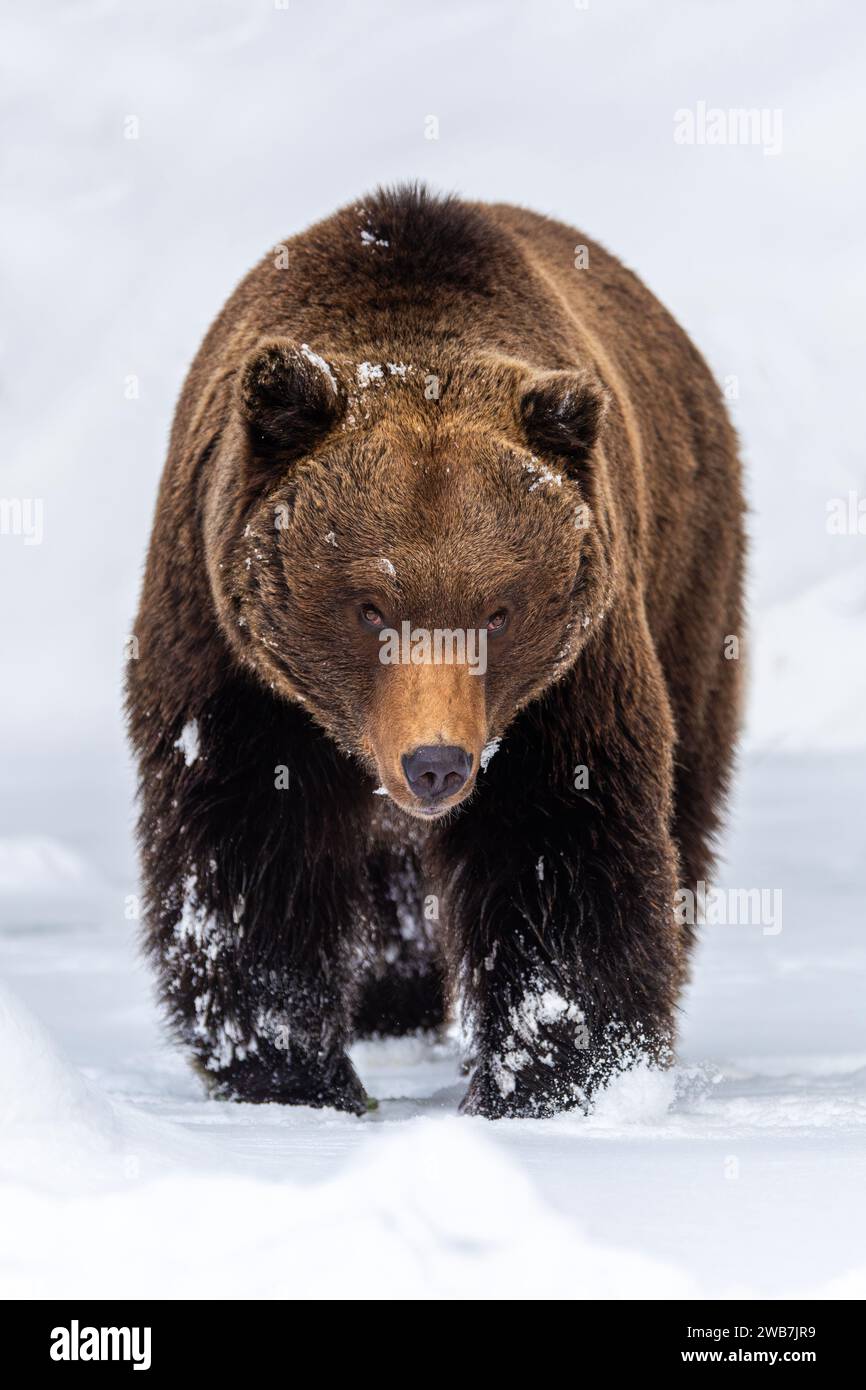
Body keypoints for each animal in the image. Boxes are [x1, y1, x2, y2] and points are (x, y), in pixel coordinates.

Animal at [127, 184, 744, 1119]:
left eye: (497, 610)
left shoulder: (564, 677)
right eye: (370, 607)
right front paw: (296, 1075)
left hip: (690, 577)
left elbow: (558, 844)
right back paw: (389, 1007)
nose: (436, 764)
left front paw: (553, 1078)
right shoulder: (232, 657)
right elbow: (248, 847)